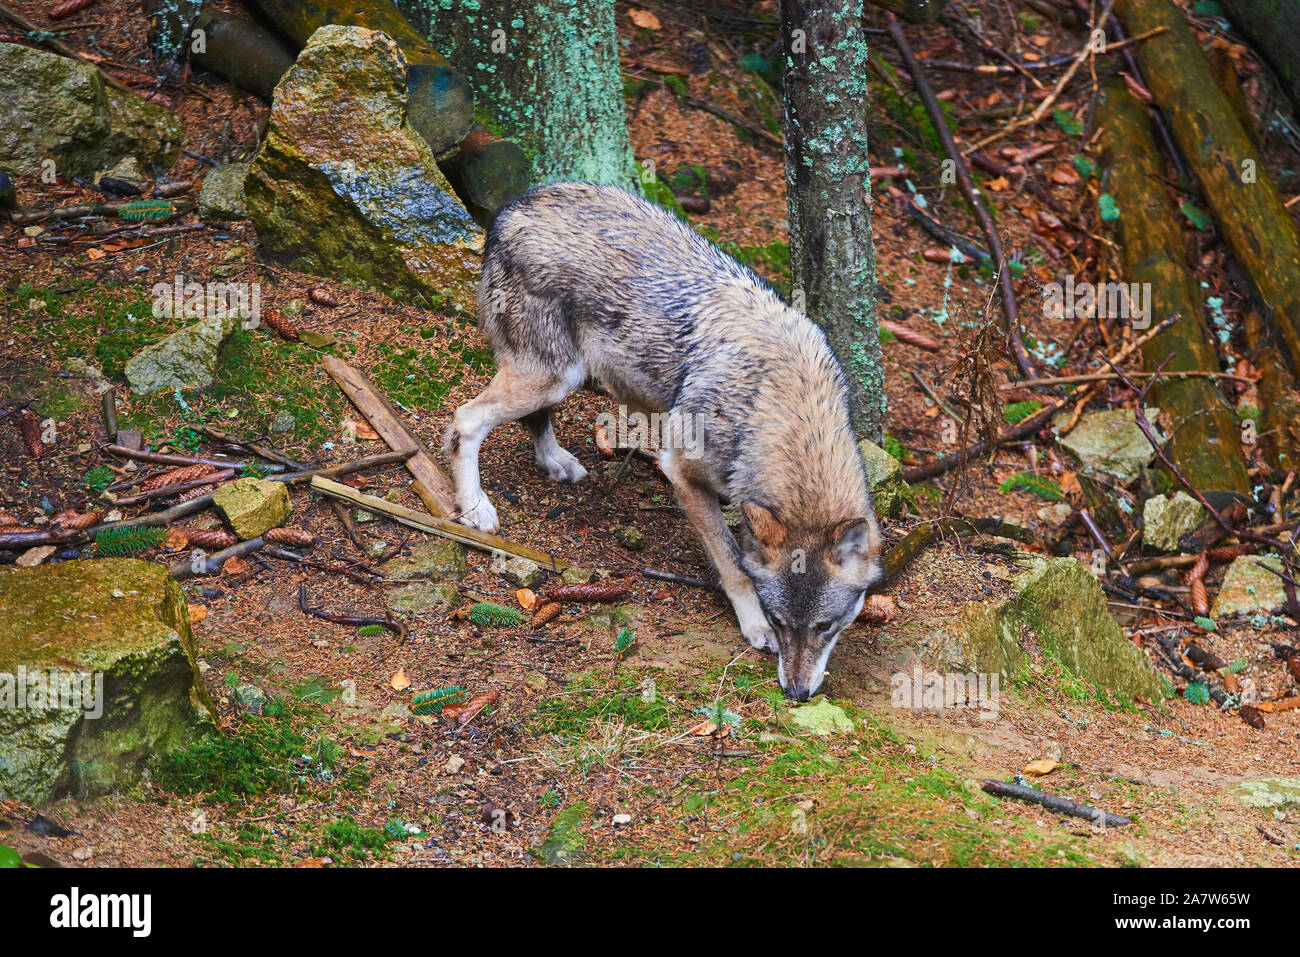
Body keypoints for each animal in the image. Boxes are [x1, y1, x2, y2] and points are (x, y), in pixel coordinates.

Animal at [445, 182, 883, 699]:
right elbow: (732, 563)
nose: (796, 693)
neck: (779, 399)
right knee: (464, 421)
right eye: (780, 621)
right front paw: (751, 624)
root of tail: (513, 208)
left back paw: (555, 462)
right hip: (550, 378)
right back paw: (476, 508)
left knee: (532, 423)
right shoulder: (686, 475)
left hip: (564, 379)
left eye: (825, 627)